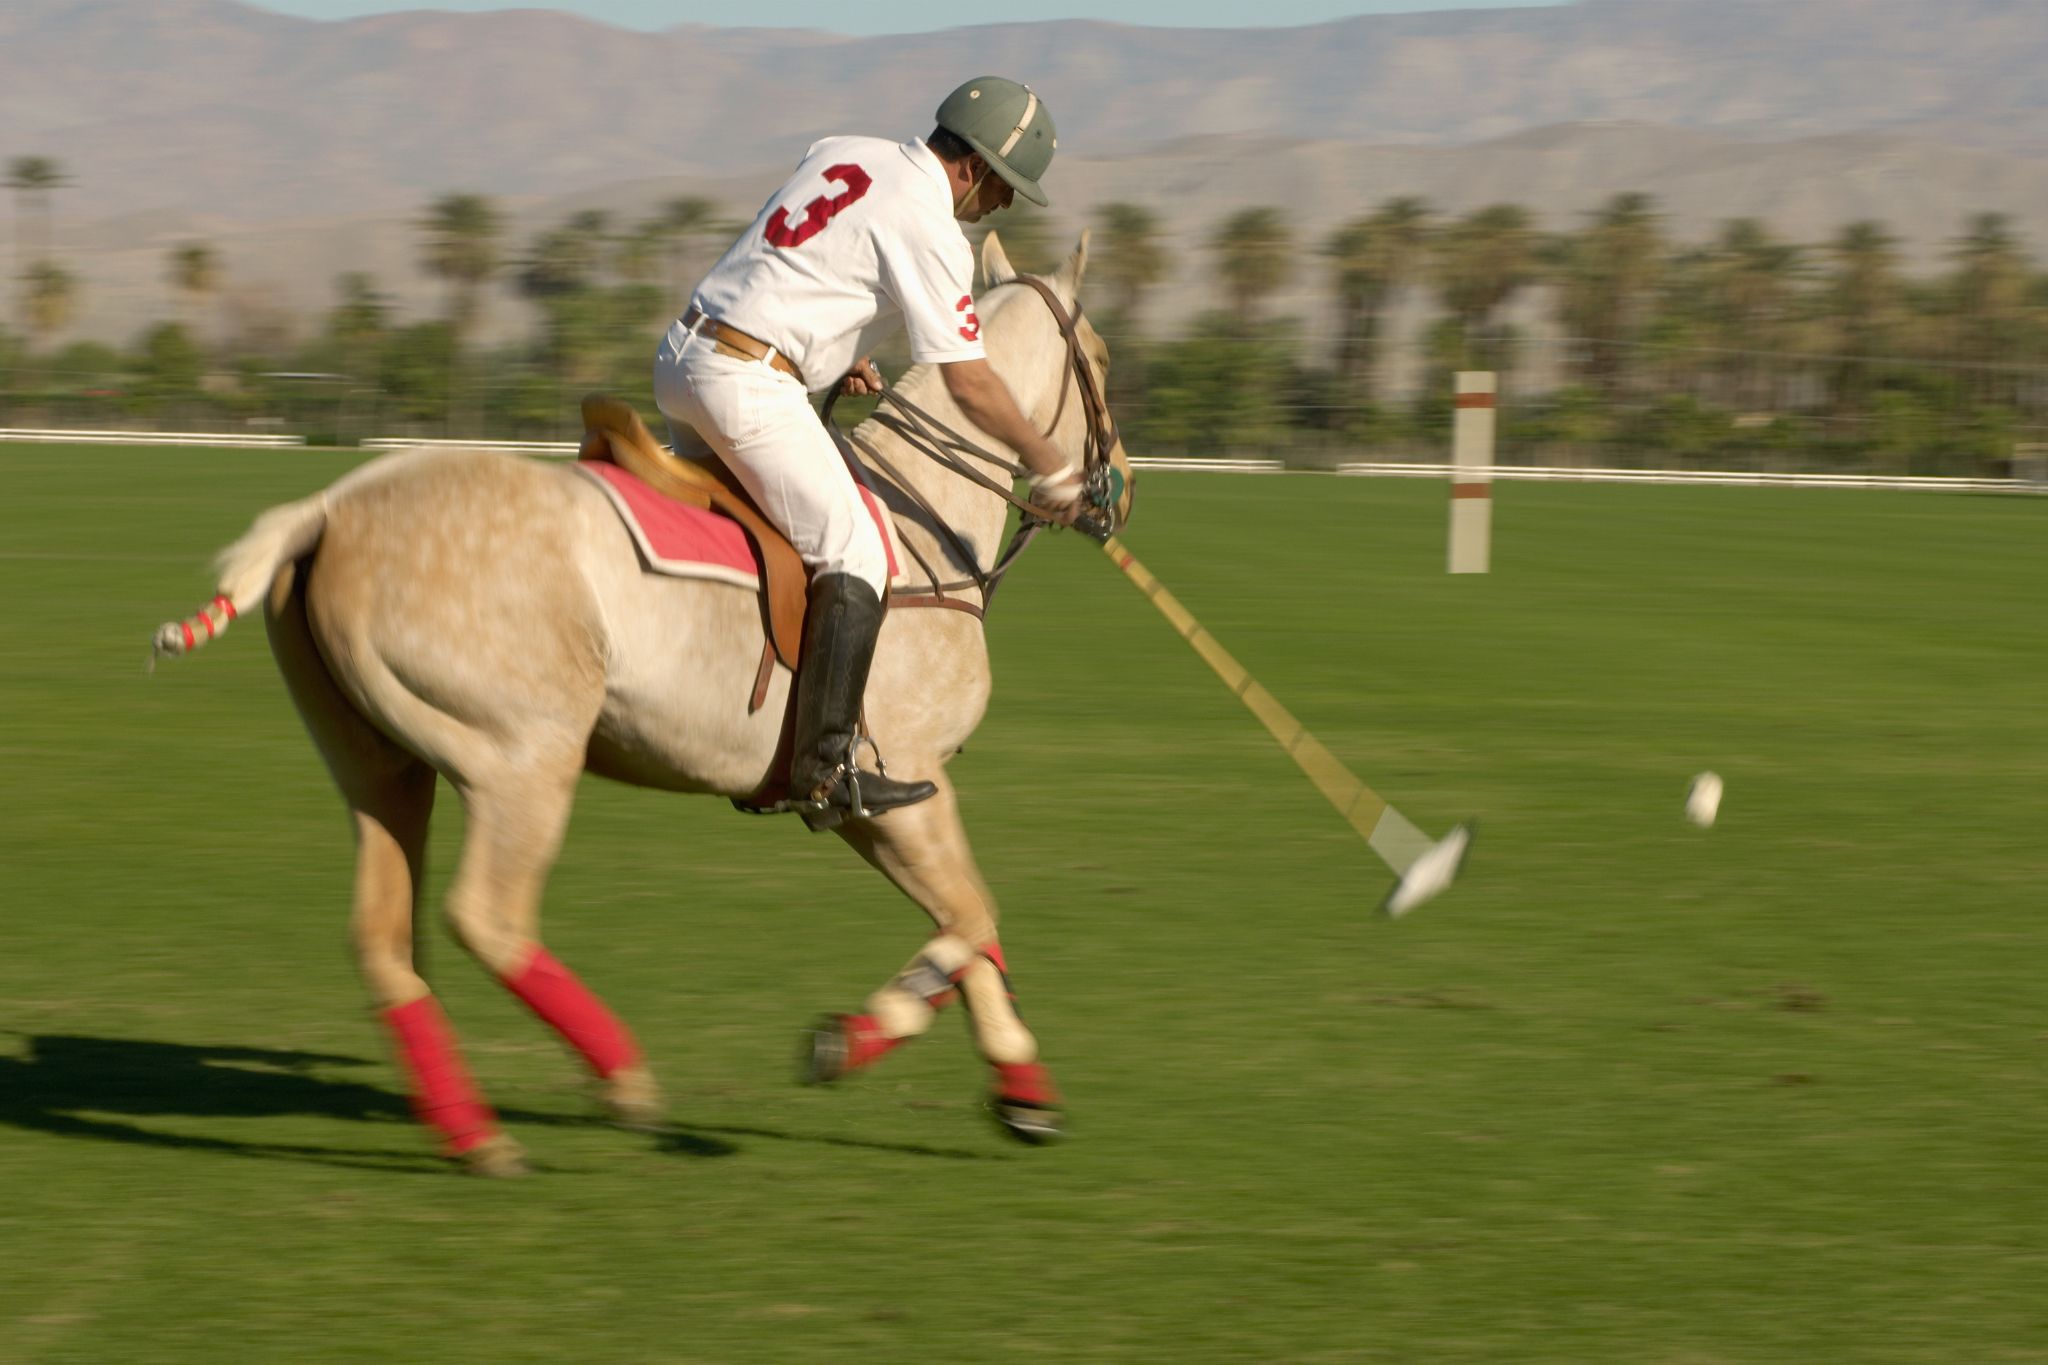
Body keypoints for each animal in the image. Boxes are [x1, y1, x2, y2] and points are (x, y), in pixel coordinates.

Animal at [151, 232, 1134, 1176]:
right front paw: (853, 1038)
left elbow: (968, 919)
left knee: (384, 939)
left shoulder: (874, 799)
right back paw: (621, 1079)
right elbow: (970, 917)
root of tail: (327, 509)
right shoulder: (905, 782)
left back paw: (474, 1135)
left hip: (378, 765)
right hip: (522, 759)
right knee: (486, 917)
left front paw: (1024, 1092)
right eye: (1101, 356)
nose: (1114, 489)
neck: (925, 521)